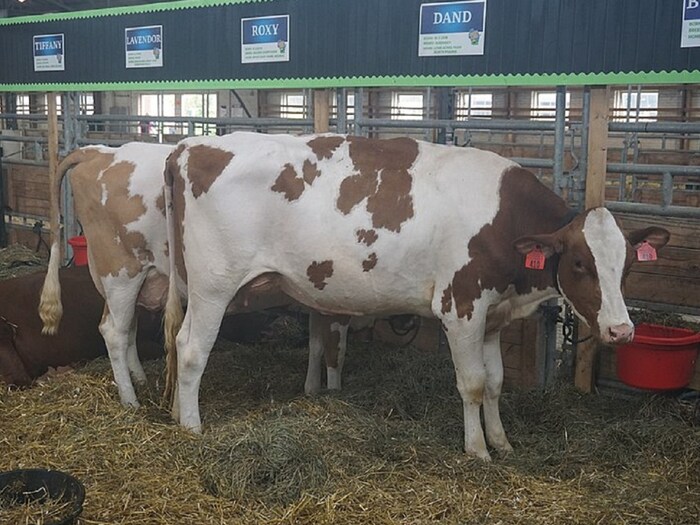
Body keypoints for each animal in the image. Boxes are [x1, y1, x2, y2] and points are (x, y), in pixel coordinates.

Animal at [37, 143, 347, 408]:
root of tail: (97, 151)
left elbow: (317, 342)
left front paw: (314, 388)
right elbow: (334, 346)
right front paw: (332, 389)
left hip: (128, 280)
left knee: (126, 327)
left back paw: (140, 379)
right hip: (122, 273)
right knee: (114, 332)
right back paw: (131, 400)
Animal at [162, 132, 669, 461]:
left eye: (627, 265)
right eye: (580, 263)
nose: (621, 330)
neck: (503, 218)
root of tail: (189, 147)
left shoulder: (494, 315)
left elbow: (497, 382)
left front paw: (502, 441)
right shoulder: (461, 307)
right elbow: (473, 383)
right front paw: (477, 450)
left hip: (191, 285)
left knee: (177, 342)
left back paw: (173, 412)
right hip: (213, 286)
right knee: (190, 349)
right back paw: (191, 426)